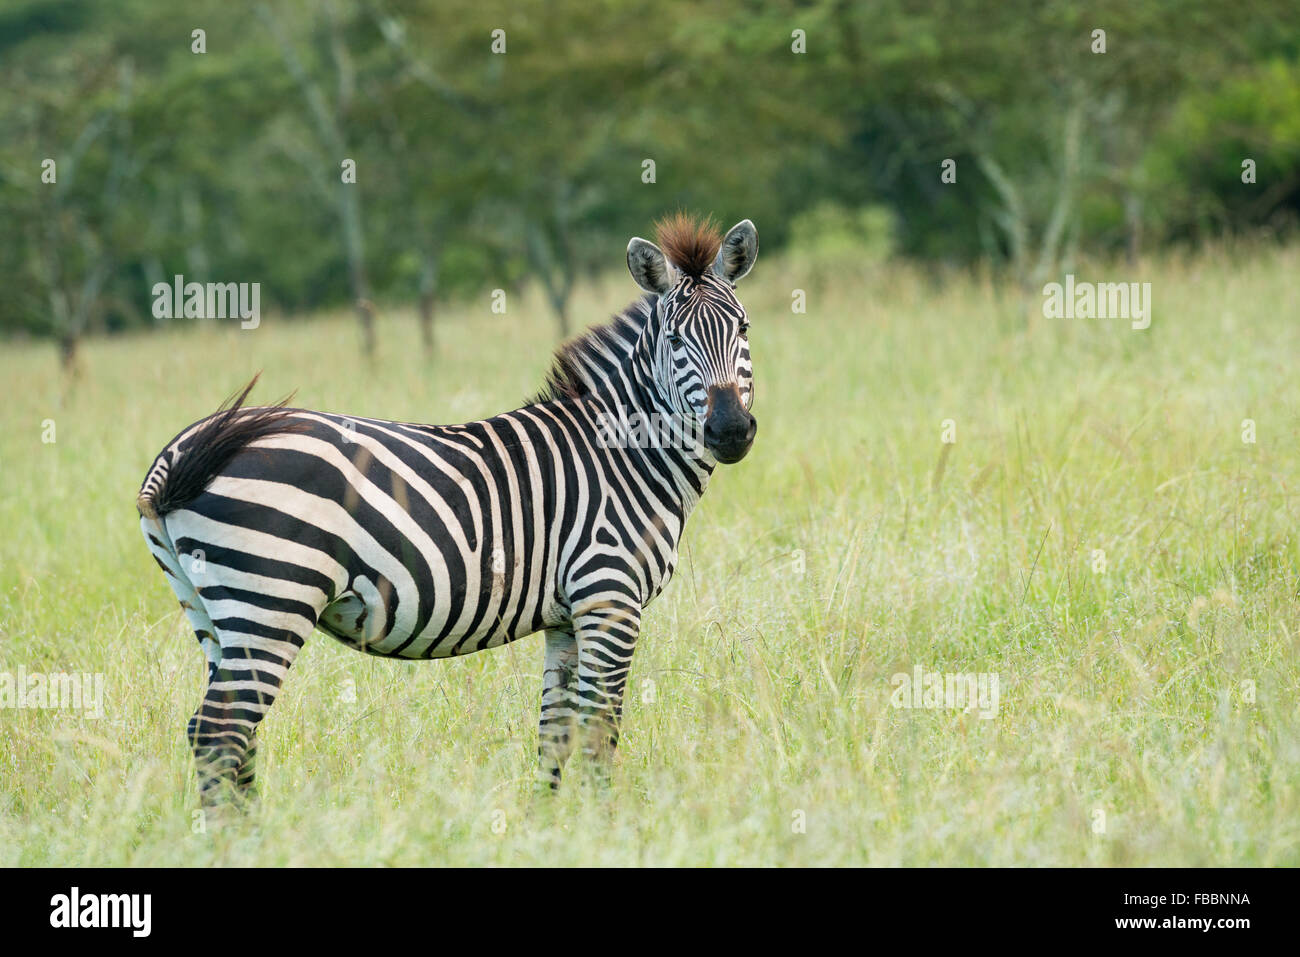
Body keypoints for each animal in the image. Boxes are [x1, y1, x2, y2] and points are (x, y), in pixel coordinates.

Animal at [136, 213, 759, 804]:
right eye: (674, 340)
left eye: (744, 328)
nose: (730, 430)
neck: (623, 456)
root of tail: (186, 451)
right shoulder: (609, 599)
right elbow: (599, 731)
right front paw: (605, 825)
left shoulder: (567, 618)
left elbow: (556, 736)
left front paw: (553, 825)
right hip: (272, 598)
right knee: (220, 733)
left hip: (213, 613)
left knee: (226, 736)